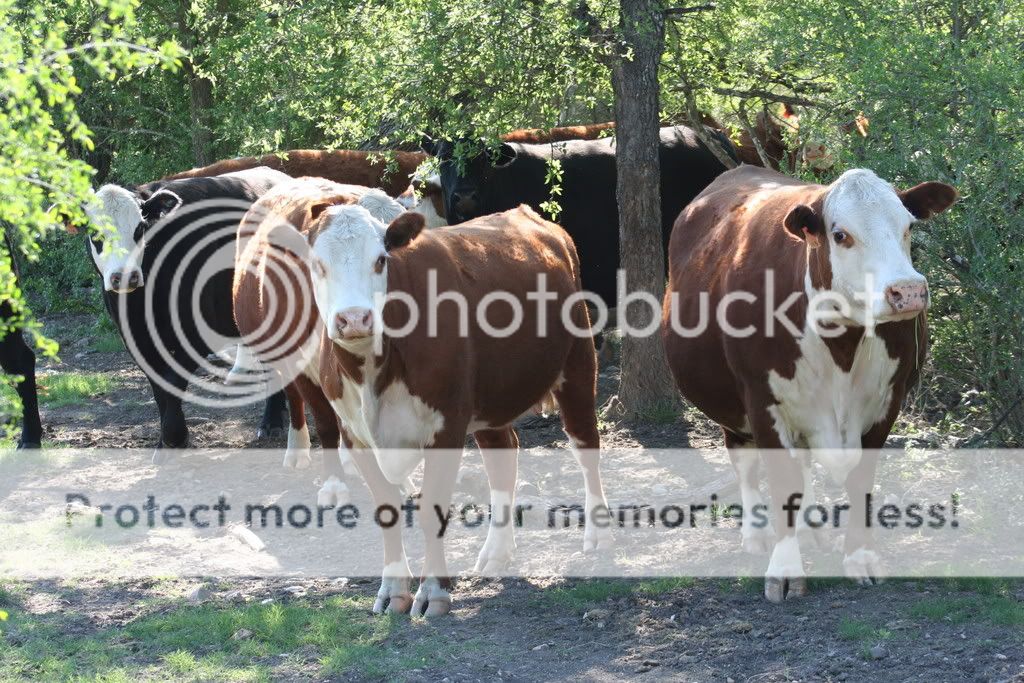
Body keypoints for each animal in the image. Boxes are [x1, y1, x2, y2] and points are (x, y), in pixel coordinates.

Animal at [85, 168, 292, 459]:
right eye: (95, 234)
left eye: (140, 228)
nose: (124, 276)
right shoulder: (136, 340)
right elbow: (160, 388)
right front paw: (167, 442)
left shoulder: (197, 334)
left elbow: (174, 382)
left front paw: (175, 438)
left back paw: (273, 422)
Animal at [232, 177, 408, 505]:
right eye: (319, 264)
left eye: (383, 258)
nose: (355, 318)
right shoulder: (301, 365)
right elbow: (325, 421)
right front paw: (333, 483)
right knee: (293, 398)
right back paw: (297, 448)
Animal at [283, 203, 610, 616]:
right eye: (317, 264)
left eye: (380, 260)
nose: (354, 318)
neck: (373, 371)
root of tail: (528, 216)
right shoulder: (355, 434)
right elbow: (386, 511)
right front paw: (393, 589)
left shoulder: (446, 425)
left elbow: (431, 510)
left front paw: (433, 592)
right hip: (491, 398)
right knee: (503, 457)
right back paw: (496, 550)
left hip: (578, 365)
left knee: (586, 447)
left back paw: (598, 534)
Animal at [661, 165, 957, 602]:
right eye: (841, 235)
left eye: (907, 226)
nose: (909, 291)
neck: (843, 345)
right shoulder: (762, 399)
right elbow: (782, 482)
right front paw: (784, 569)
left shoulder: (889, 400)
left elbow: (859, 480)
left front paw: (860, 557)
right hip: (731, 405)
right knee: (745, 461)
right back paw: (757, 533)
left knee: (802, 461)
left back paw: (810, 526)